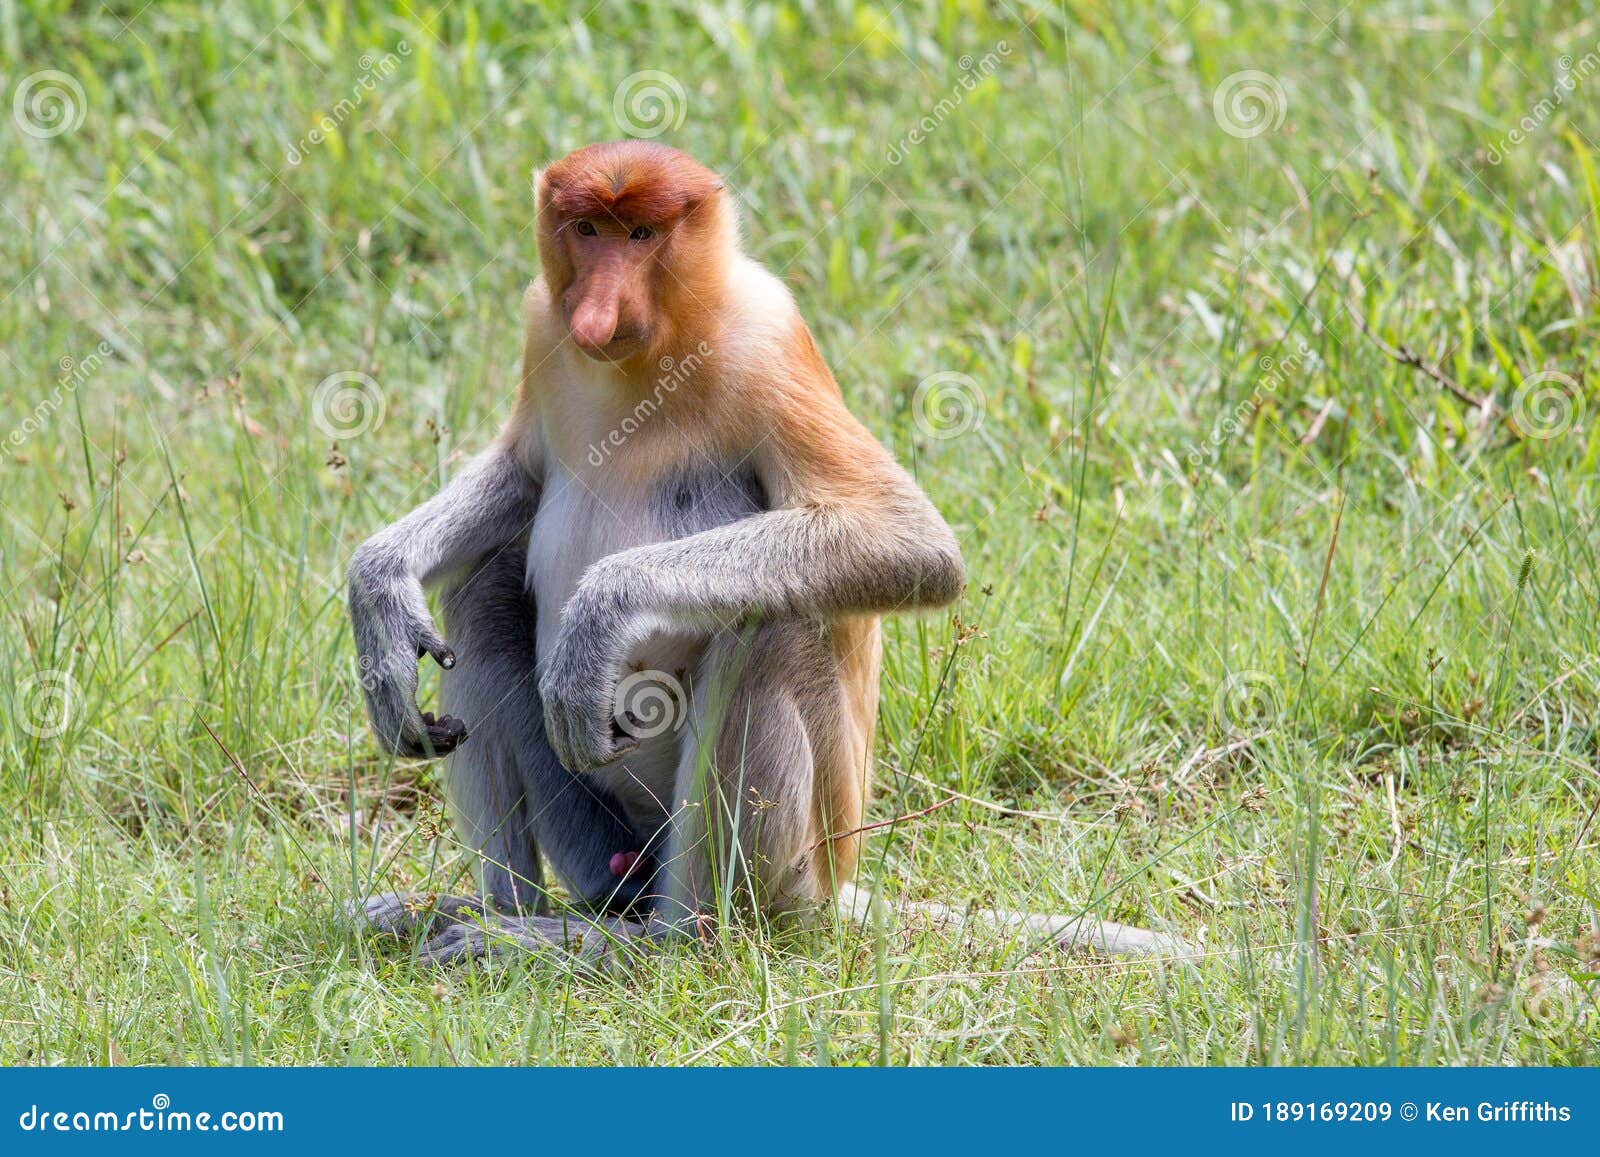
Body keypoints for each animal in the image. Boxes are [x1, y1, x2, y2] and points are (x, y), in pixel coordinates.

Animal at [347, 141, 965, 965]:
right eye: (586, 230)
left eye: (640, 235)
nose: (595, 313)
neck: (653, 352)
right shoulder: (542, 325)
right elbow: (522, 474)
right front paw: (379, 586)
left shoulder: (766, 339)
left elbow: (910, 541)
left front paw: (600, 616)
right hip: (602, 836)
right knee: (481, 590)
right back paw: (491, 912)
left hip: (792, 870)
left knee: (770, 628)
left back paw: (645, 942)